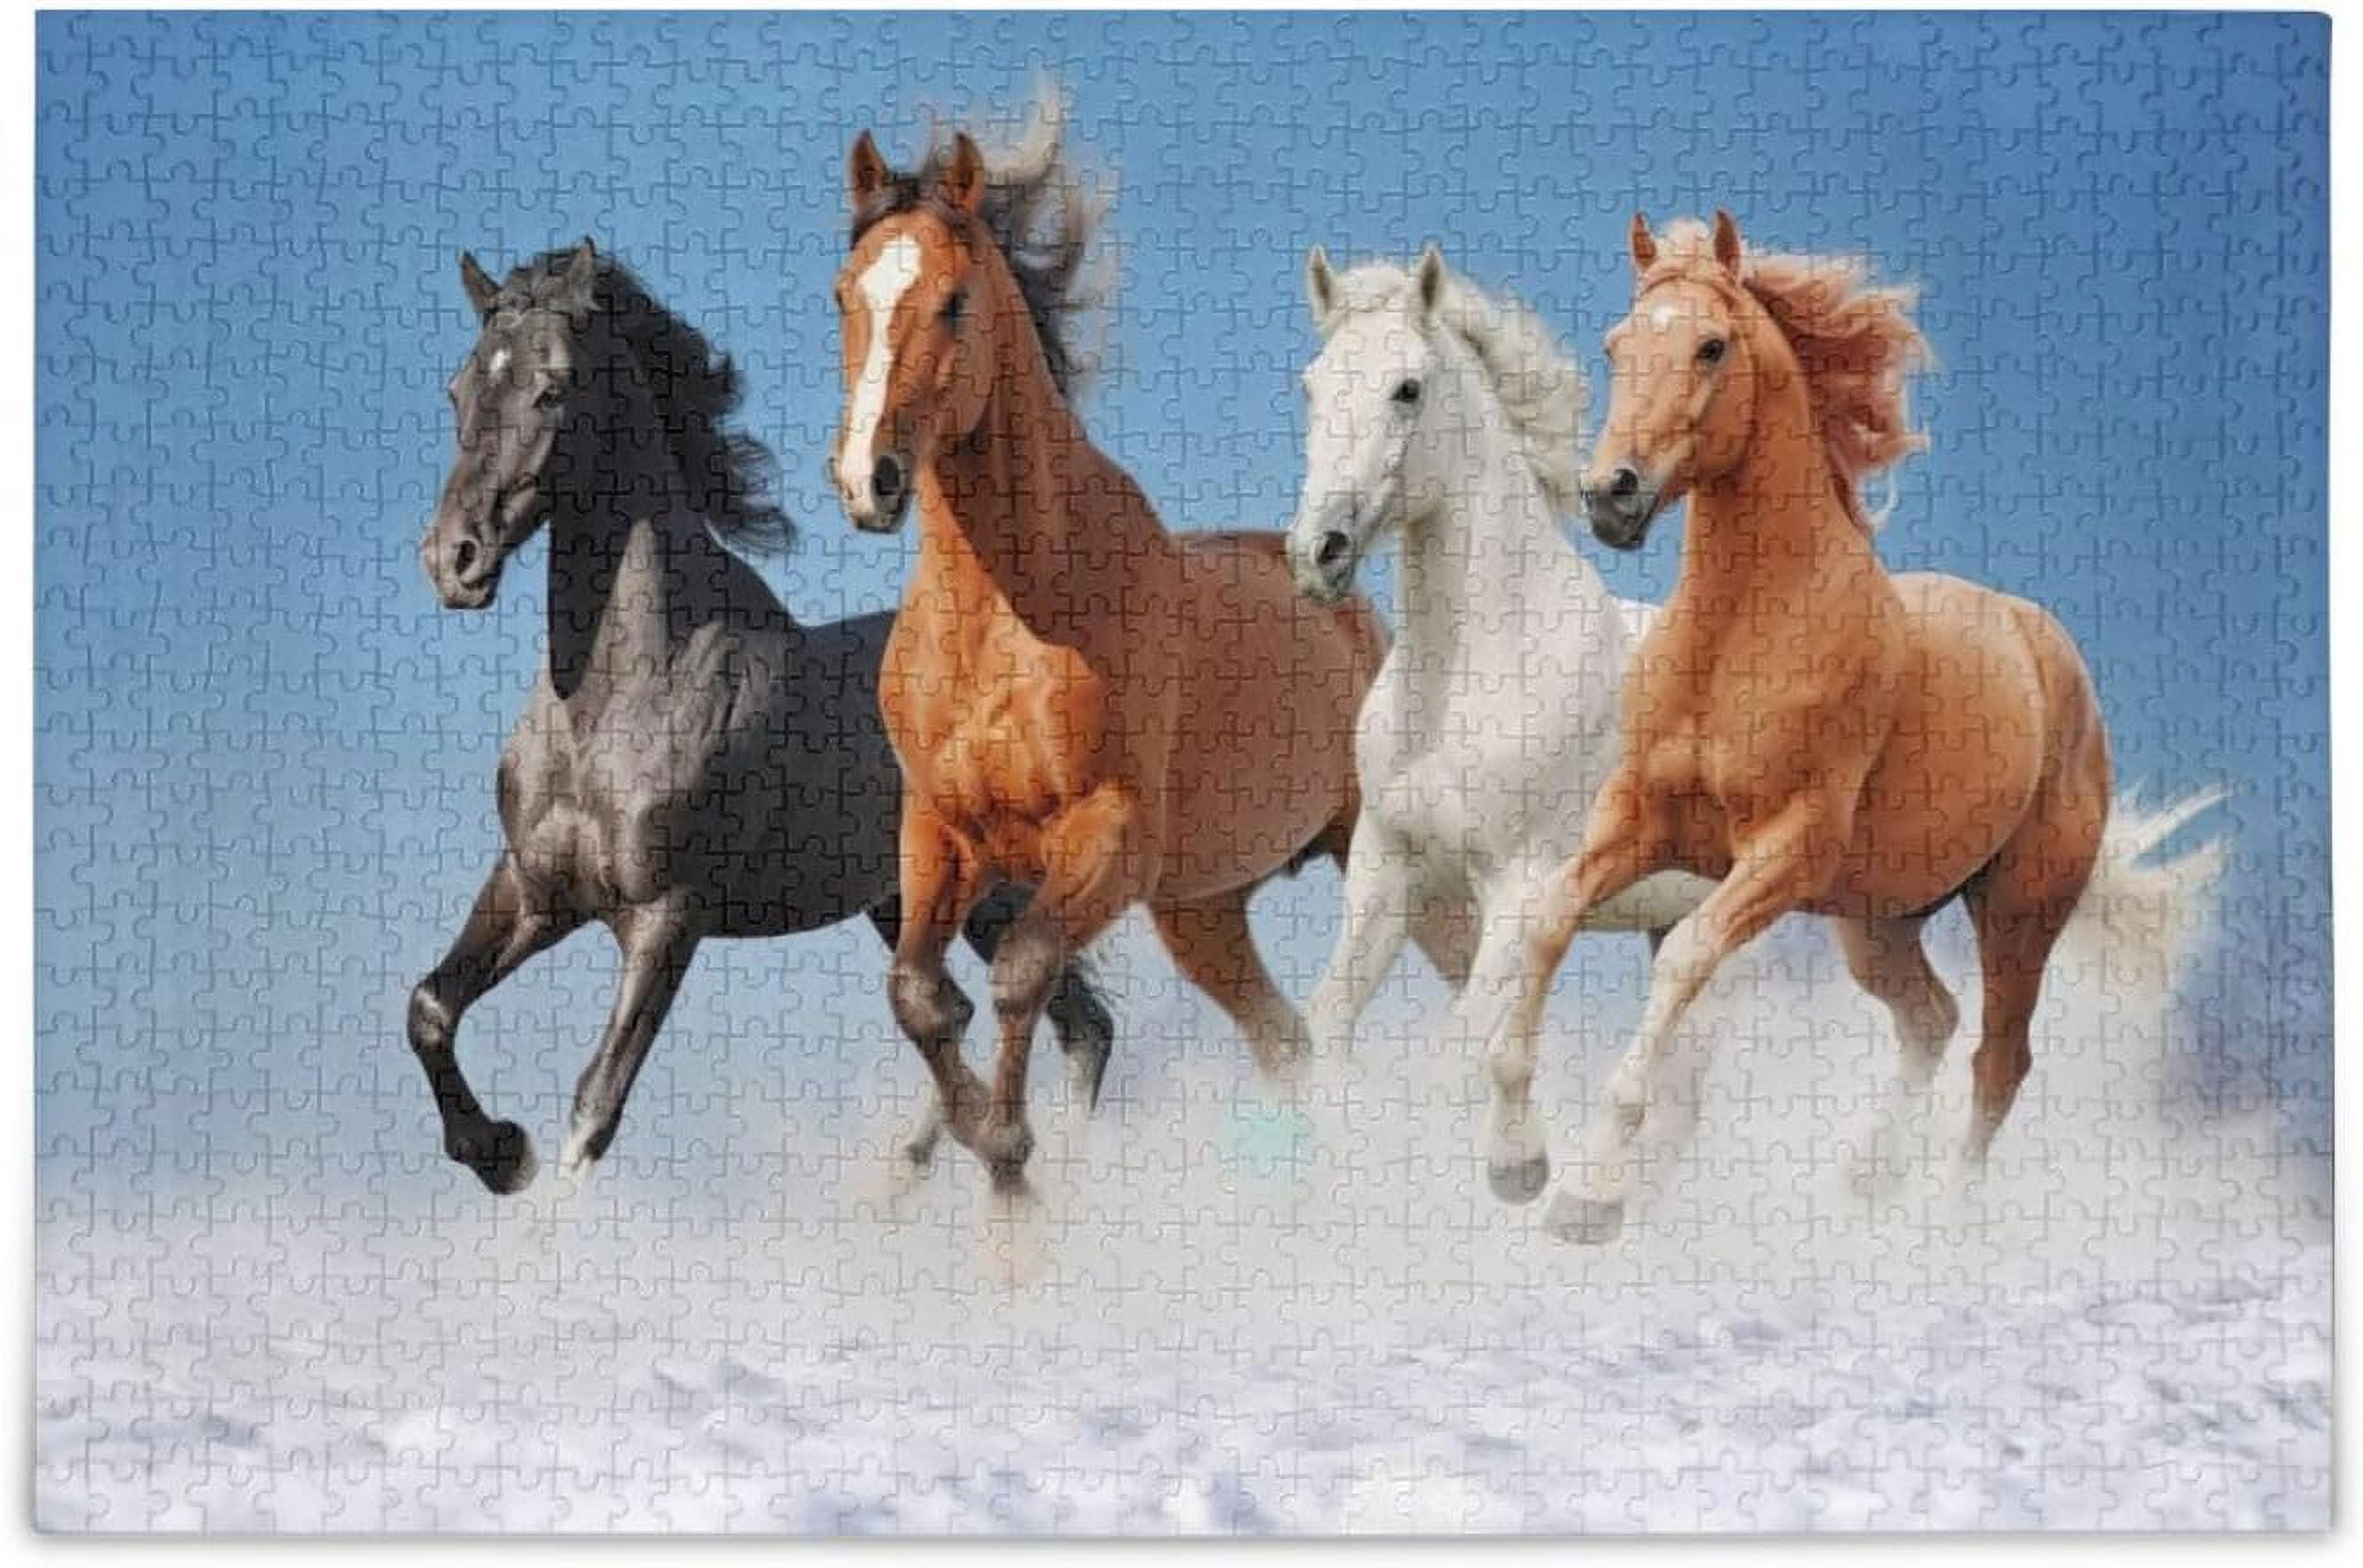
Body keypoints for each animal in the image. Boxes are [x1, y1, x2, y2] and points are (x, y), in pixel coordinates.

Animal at [408, 239, 1111, 1194]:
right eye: (458, 388)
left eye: (553, 386)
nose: (455, 558)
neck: (618, 698)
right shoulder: (533, 891)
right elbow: (431, 1008)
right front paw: (498, 1155)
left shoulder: (667, 916)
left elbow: (595, 1105)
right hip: (911, 905)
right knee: (1000, 1017)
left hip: (997, 895)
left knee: (1058, 1021)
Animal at [827, 100, 1393, 1210]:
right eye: (845, 295)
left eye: (953, 301)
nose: (869, 479)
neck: (1010, 617)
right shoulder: (938, 837)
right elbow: (919, 994)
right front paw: (966, 1142)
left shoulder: (1108, 835)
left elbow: (1021, 973)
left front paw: (1009, 1160)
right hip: (1203, 914)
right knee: (1289, 1046)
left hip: (1368, 851)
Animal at [1283, 245, 1712, 1203]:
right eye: (1313, 383)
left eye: (1408, 388)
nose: (1318, 554)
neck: (1468, 678)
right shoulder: (1387, 872)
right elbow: (1328, 1030)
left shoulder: (1521, 890)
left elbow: (1455, 1059)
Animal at [1505, 211, 2218, 1244]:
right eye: (1617, 346)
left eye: (1712, 346)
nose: (1613, 494)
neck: (1740, 635)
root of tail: (2047, 650)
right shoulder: (1638, 822)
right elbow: (1549, 919)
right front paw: (1514, 1161)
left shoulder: (1782, 852)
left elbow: (1682, 959)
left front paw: (1590, 1197)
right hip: (1876, 922)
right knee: (1930, 1019)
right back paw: (1867, 1182)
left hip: (2019, 911)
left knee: (1998, 1060)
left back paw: (1948, 1224)